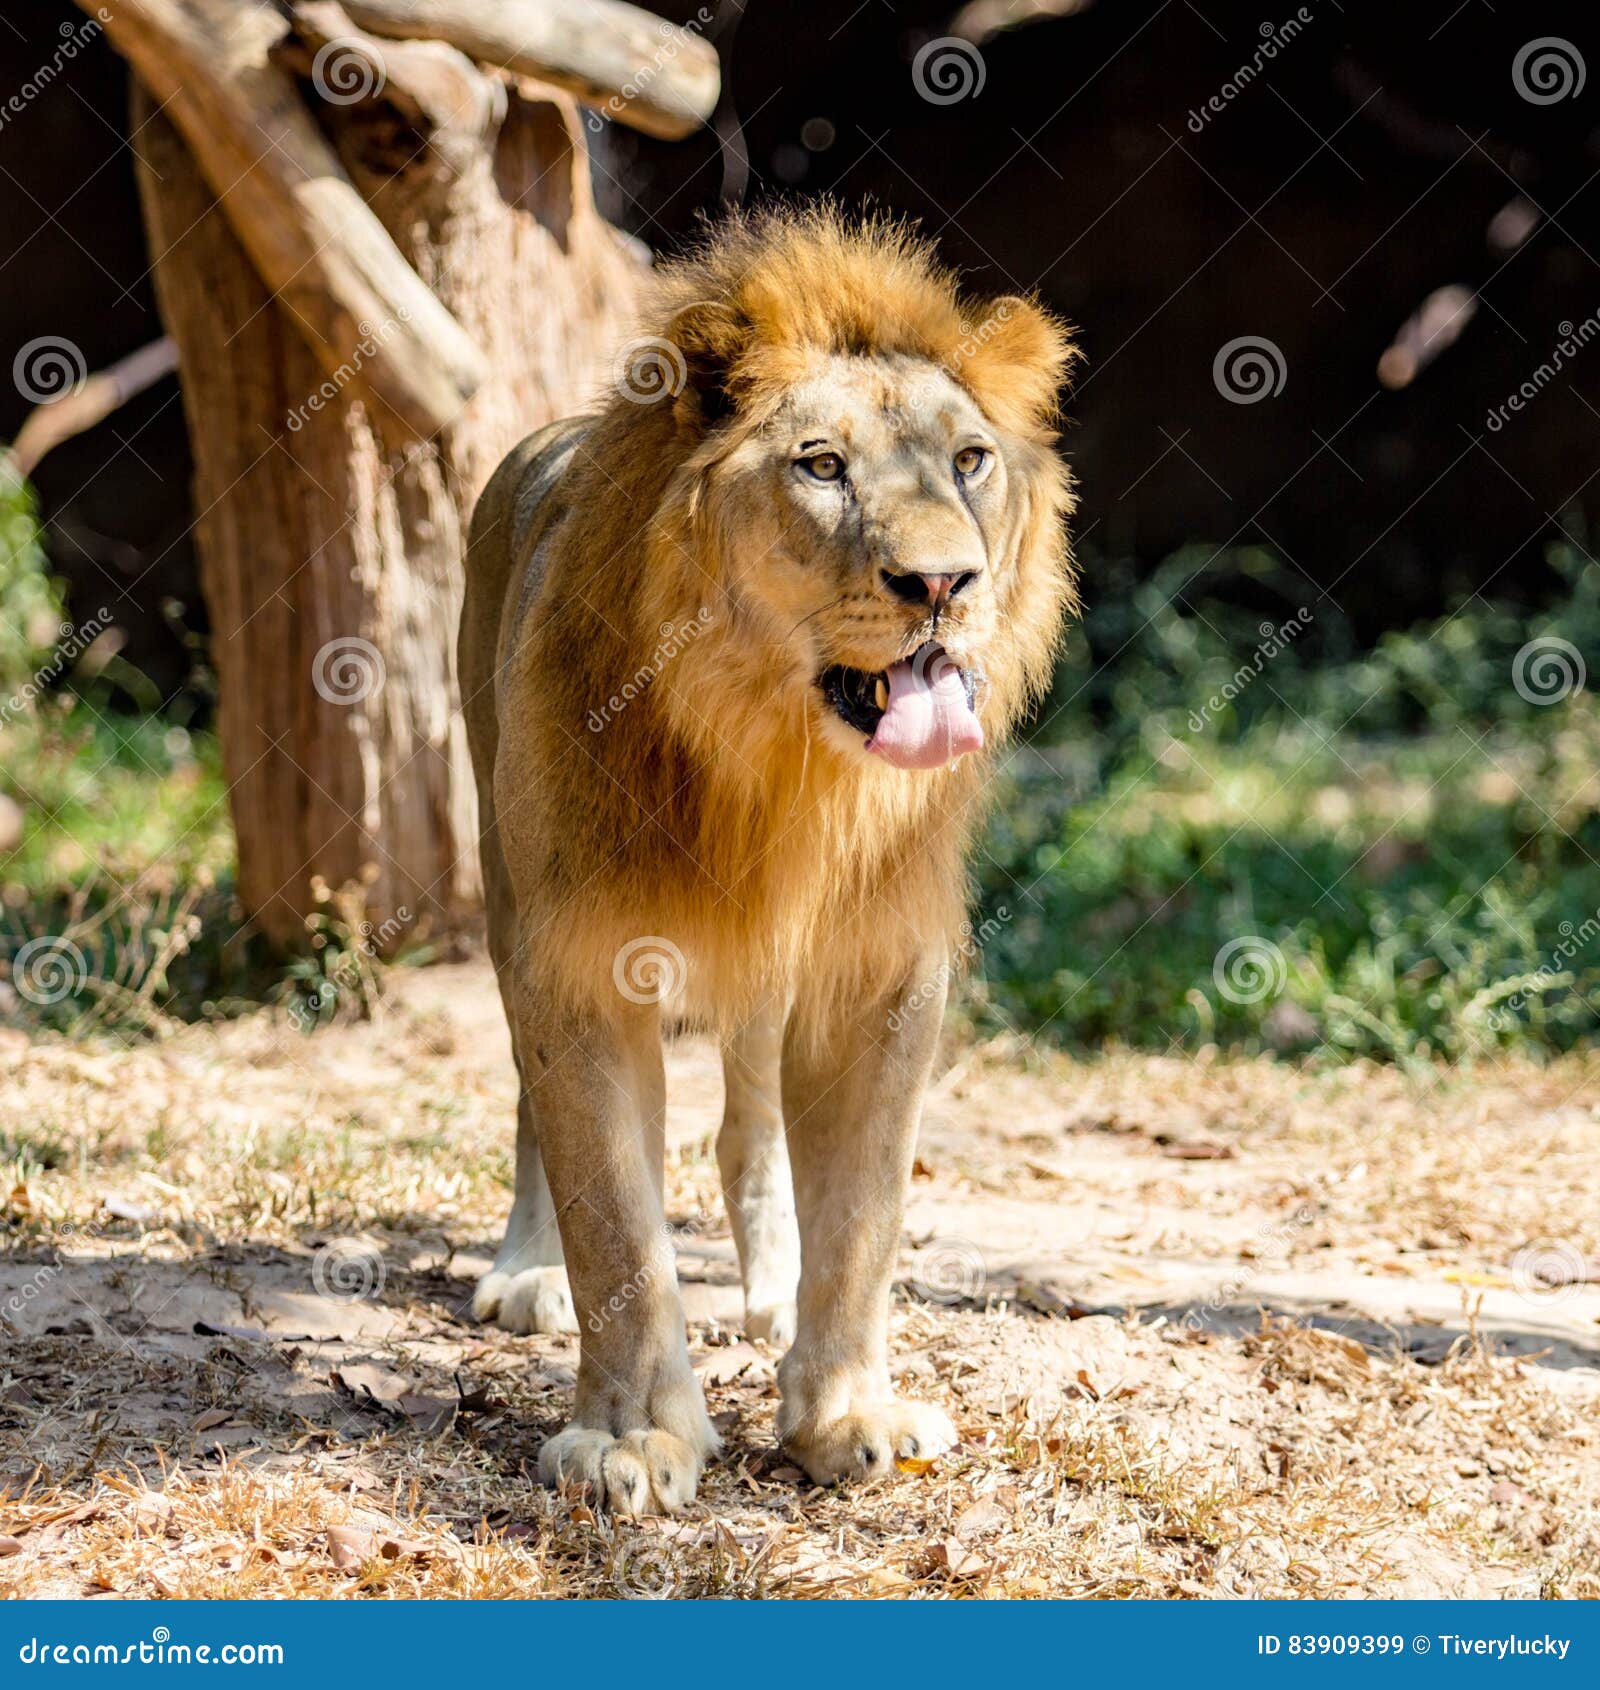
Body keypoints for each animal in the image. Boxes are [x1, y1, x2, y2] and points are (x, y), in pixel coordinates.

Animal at [459, 207, 1077, 1513]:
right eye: (821, 466)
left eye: (969, 462)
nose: (943, 582)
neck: (776, 763)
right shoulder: (574, 959)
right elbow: (615, 1224)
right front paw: (632, 1437)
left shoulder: (882, 969)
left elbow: (862, 1216)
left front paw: (843, 1413)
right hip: (498, 869)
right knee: (536, 1116)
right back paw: (527, 1269)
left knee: (750, 1132)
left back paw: (768, 1290)